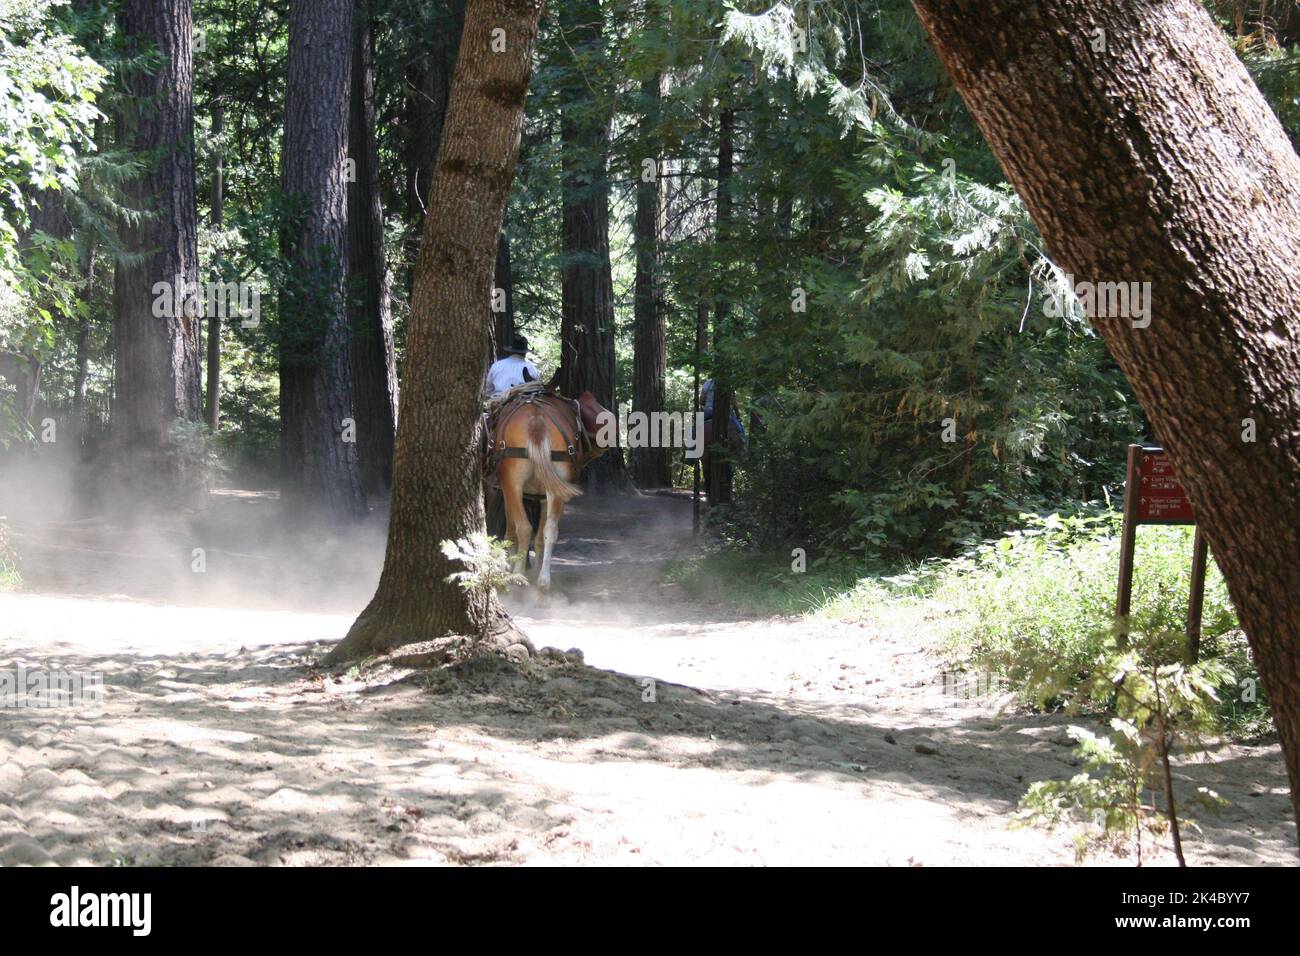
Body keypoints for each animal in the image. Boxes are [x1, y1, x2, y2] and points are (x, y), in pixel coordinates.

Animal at [488, 385, 607, 589]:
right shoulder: (543, 496)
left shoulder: (507, 490)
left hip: (513, 483)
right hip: (556, 485)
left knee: (524, 528)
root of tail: (537, 420)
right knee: (550, 529)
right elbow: (541, 535)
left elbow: (511, 530)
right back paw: (543, 580)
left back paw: (519, 575)